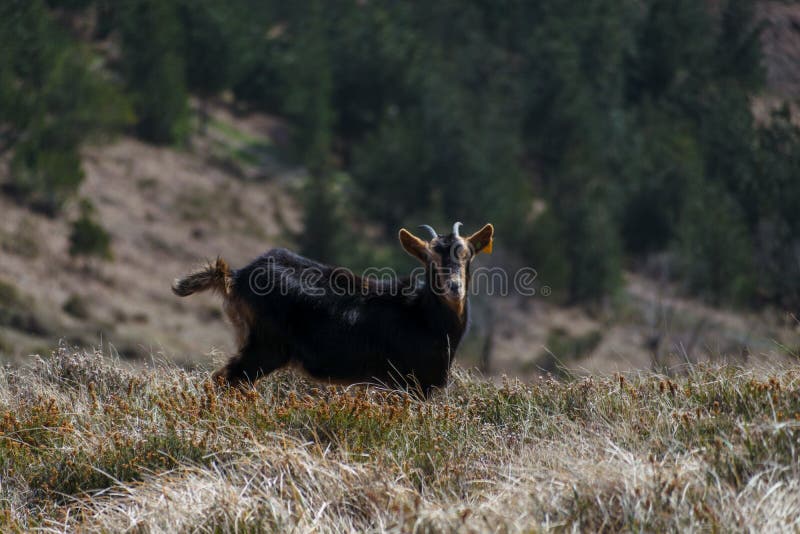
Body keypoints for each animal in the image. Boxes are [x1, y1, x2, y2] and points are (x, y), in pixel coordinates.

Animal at [172, 222, 494, 397]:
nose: (454, 287)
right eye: (429, 257)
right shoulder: (407, 383)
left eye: (467, 254)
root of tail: (236, 276)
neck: (423, 318)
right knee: (222, 379)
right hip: (264, 346)